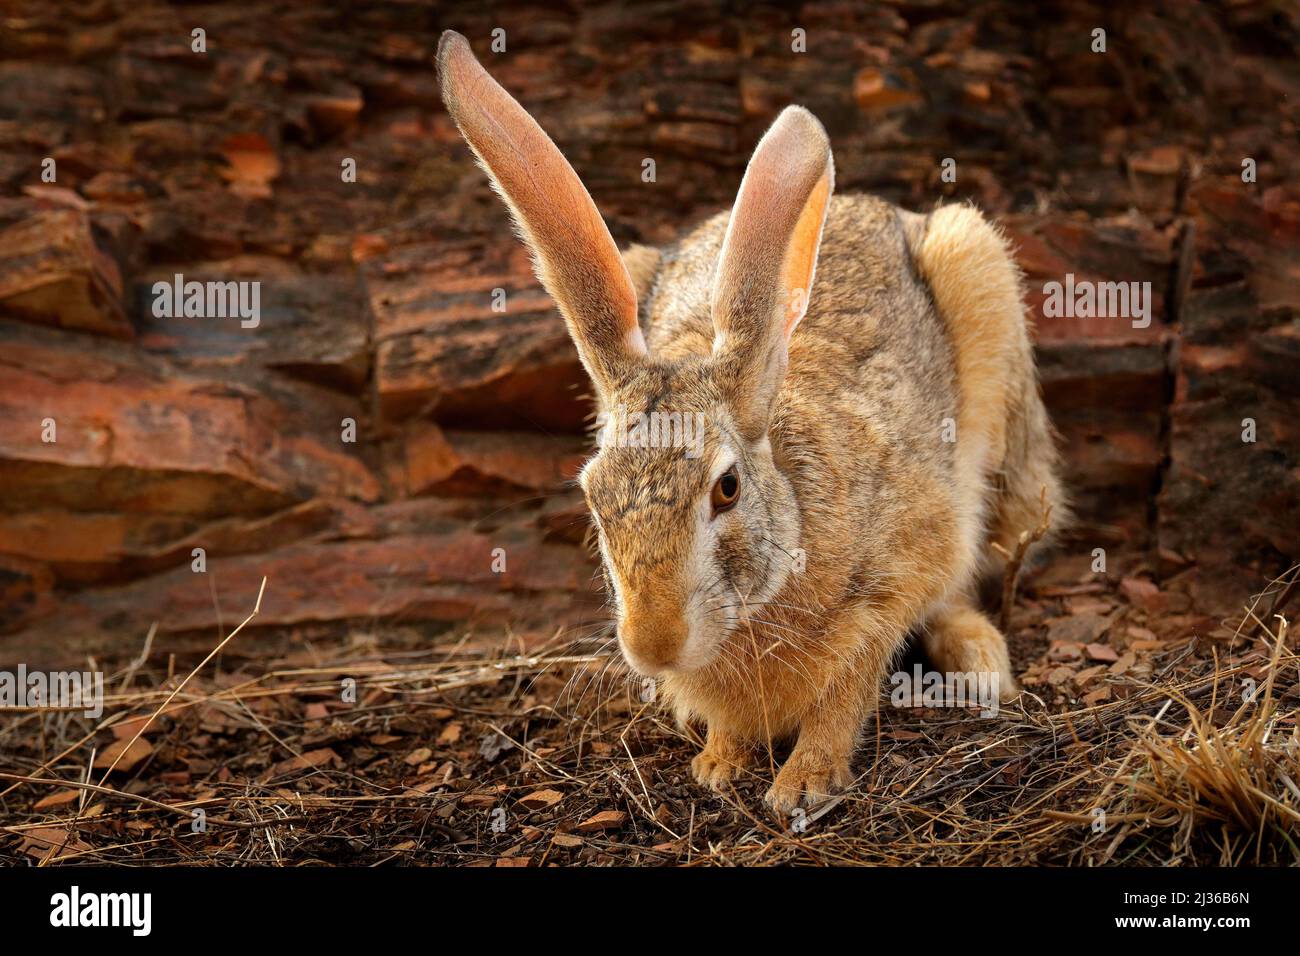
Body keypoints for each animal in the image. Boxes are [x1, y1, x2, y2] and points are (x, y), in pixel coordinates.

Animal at [436, 30, 1066, 813]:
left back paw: (980, 664)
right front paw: (720, 762)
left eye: (727, 489)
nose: (653, 644)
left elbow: (850, 686)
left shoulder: (901, 569)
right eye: (593, 496)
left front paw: (804, 784)